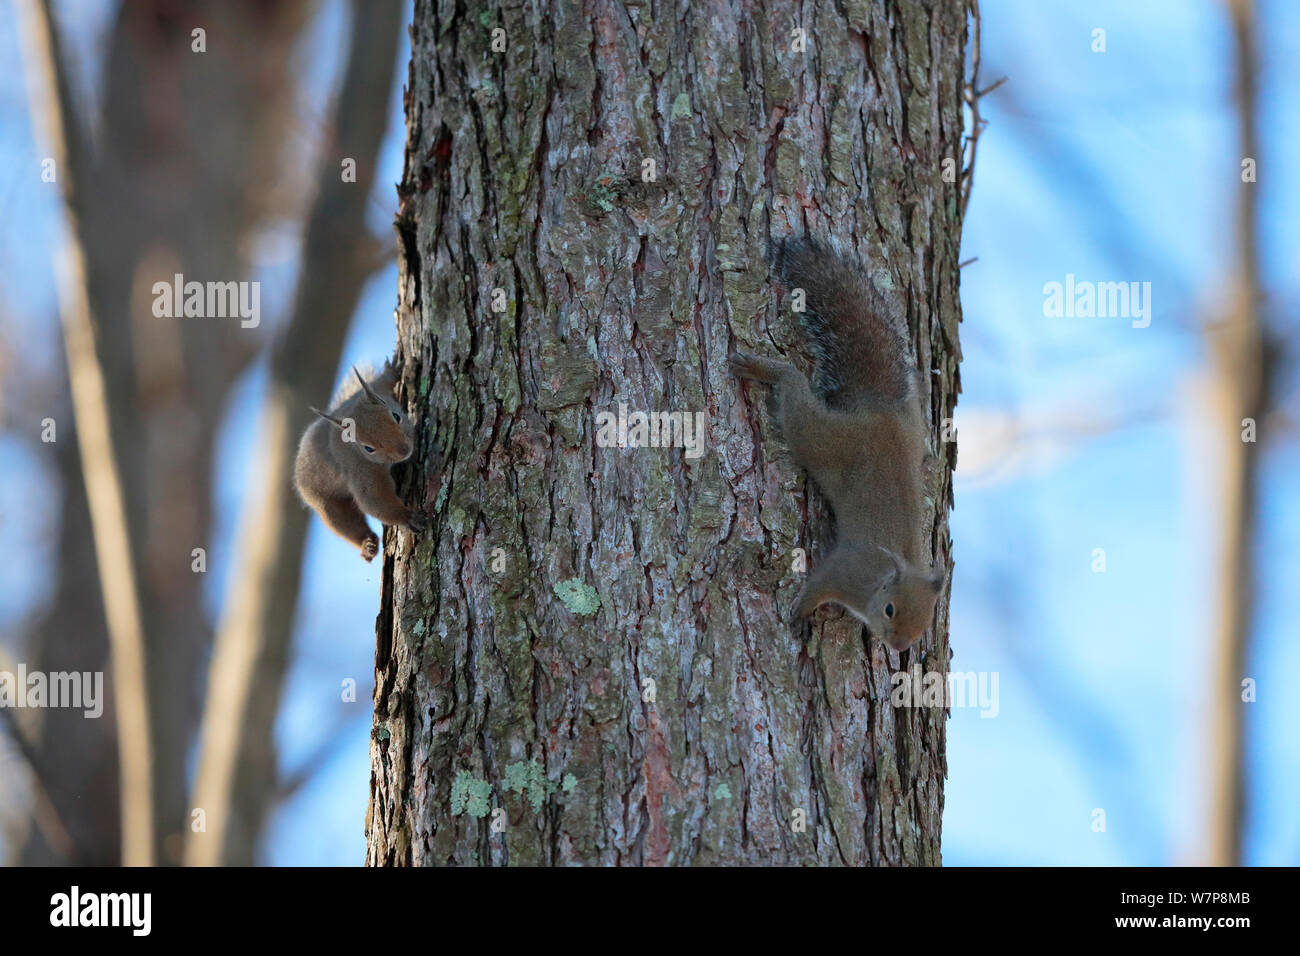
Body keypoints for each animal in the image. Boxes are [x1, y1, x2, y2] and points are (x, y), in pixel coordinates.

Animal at [294, 358, 426, 561]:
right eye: (368, 448)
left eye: (396, 416)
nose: (404, 450)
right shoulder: (361, 470)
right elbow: (372, 499)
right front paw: (406, 516)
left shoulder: (374, 390)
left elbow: (381, 382)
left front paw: (393, 370)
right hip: (323, 501)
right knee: (344, 523)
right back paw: (367, 543)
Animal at [728, 238, 945, 651]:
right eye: (890, 609)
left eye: (926, 621)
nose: (899, 647)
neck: (876, 584)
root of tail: (877, 410)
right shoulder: (845, 571)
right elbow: (818, 583)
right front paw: (800, 612)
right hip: (822, 438)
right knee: (793, 386)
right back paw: (764, 369)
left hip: (910, 429)